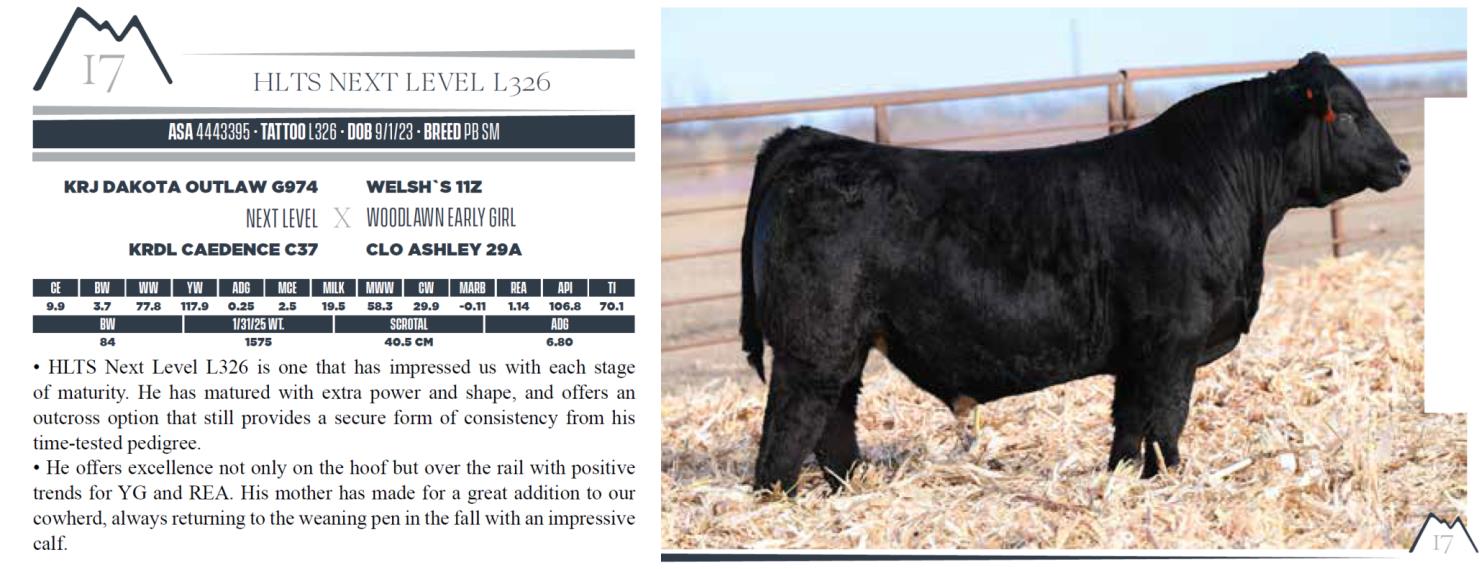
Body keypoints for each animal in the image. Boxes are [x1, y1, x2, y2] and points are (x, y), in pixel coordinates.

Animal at [739, 52, 1410, 494]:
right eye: (1348, 113)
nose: (1403, 162)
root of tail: (814, 141)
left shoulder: (1139, 352)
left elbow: (1130, 424)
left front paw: (1125, 480)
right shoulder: (1173, 342)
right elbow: (1166, 418)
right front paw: (1171, 480)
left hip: (845, 345)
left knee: (834, 419)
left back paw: (852, 486)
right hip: (812, 345)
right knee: (788, 428)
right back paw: (784, 496)